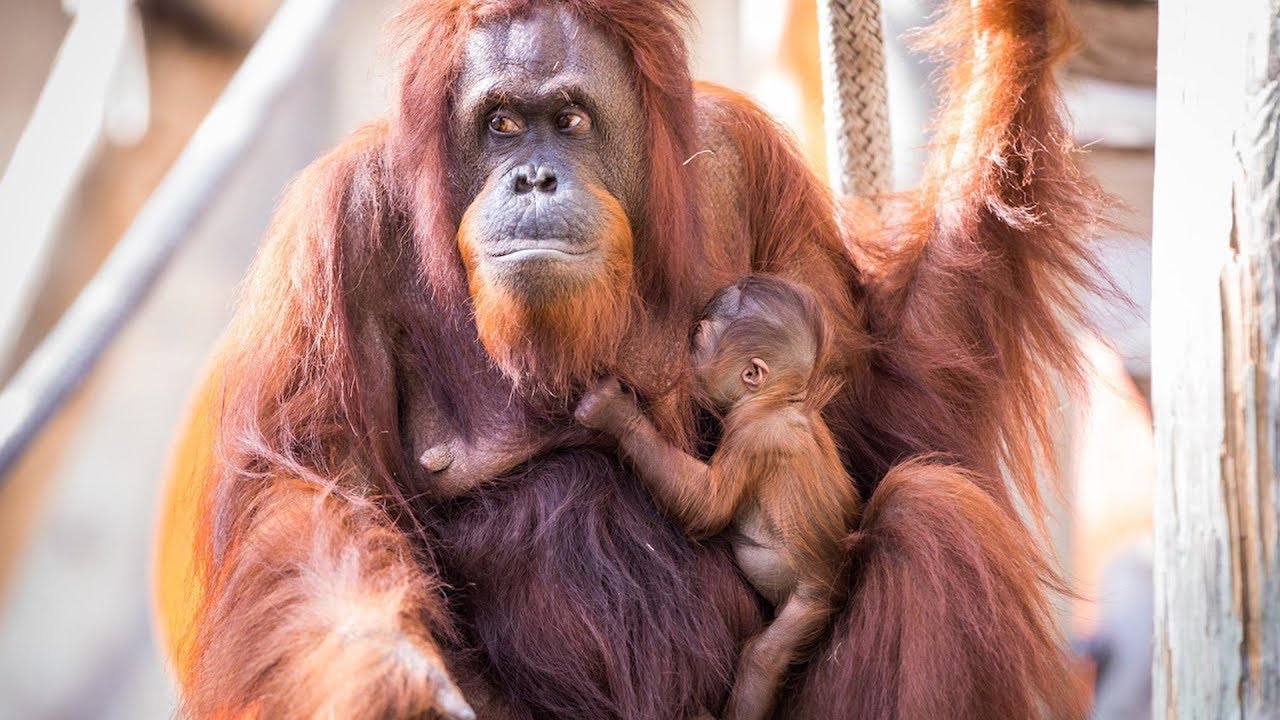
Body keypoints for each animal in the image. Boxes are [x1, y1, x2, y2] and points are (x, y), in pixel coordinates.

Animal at [576, 275, 862, 720]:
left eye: (699, 338)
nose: (688, 351)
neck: (778, 398)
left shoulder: (749, 435)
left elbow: (710, 506)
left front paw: (614, 413)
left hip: (813, 601)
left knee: (763, 657)